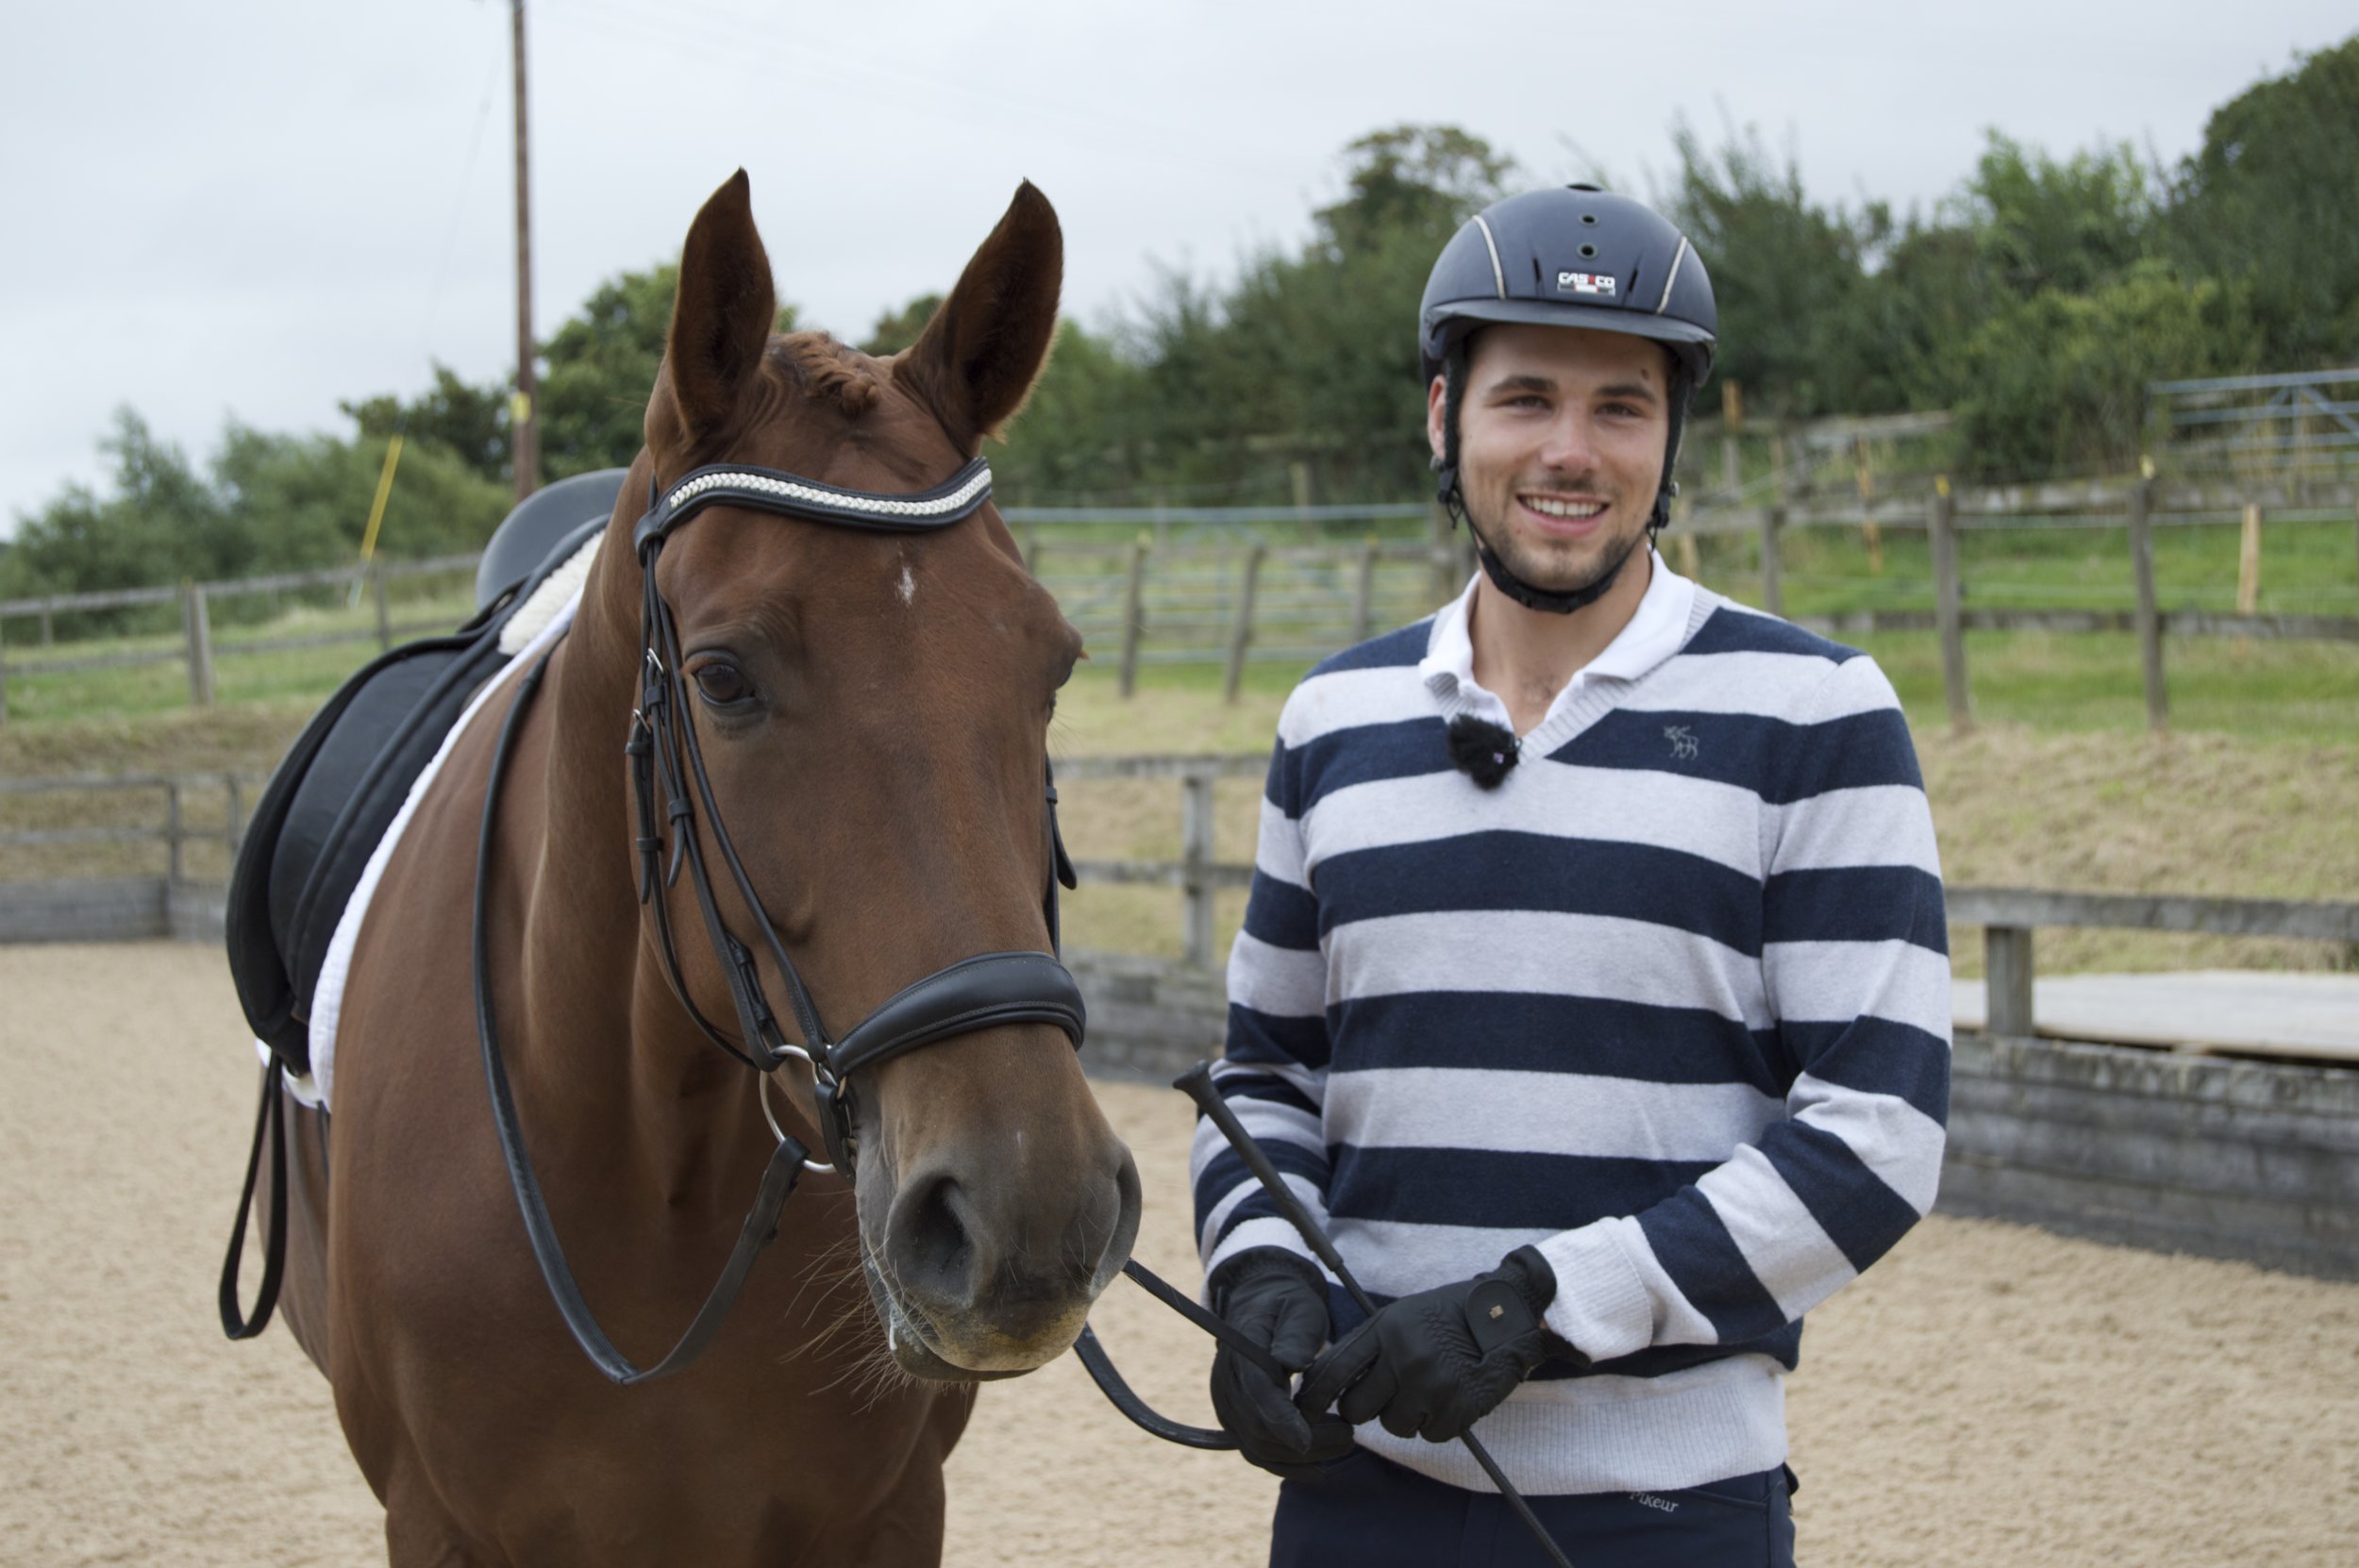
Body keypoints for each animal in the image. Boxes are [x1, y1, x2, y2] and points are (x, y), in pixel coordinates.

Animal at [251, 172, 1141, 1566]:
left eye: (1050, 663)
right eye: (722, 679)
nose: (1031, 1219)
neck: (640, 1170)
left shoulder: (887, 1514)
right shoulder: (435, 1521)